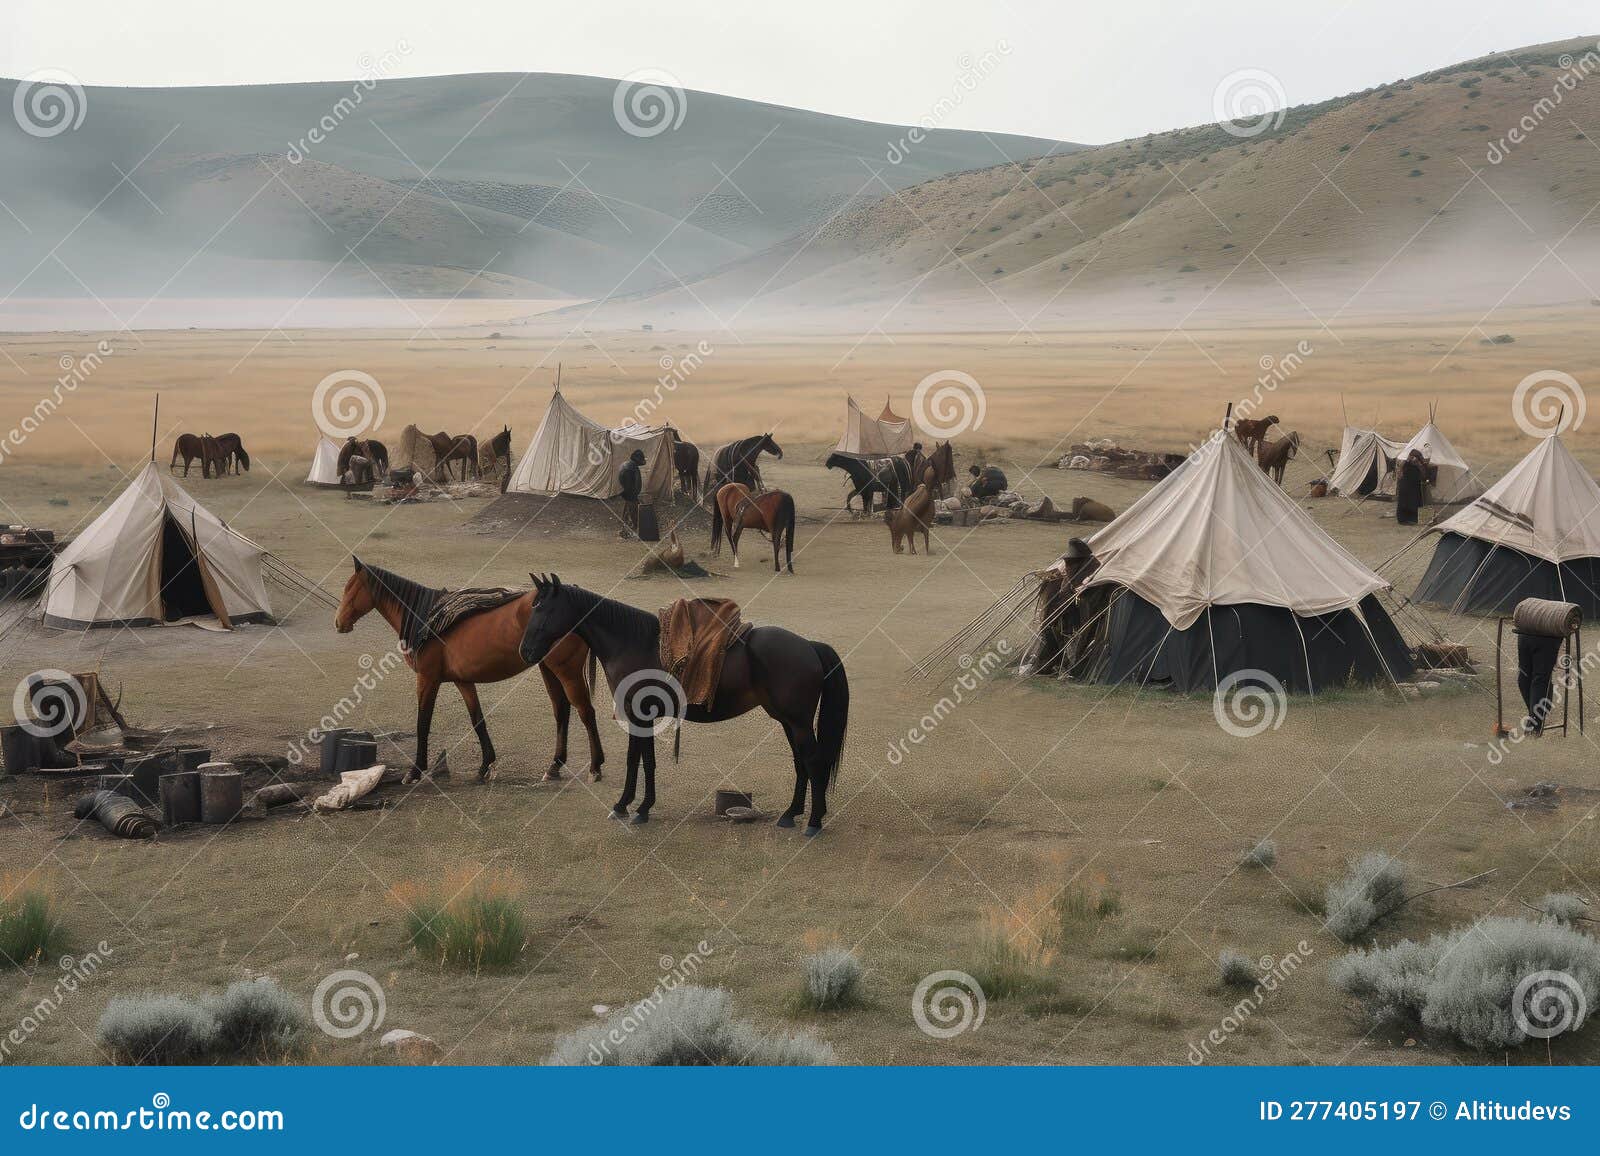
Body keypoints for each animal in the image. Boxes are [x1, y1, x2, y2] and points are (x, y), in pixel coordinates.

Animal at [334, 559, 606, 784]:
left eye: (350, 589)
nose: (338, 623)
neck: (426, 619)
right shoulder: (463, 681)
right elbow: (478, 720)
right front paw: (485, 765)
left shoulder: (427, 679)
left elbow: (423, 722)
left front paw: (415, 770)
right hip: (547, 668)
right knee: (561, 710)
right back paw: (555, 766)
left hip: (567, 670)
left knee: (585, 712)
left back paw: (595, 767)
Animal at [518, 575, 848, 834]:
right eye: (532, 607)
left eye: (543, 608)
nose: (525, 650)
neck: (631, 642)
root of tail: (809, 646)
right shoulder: (641, 716)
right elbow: (644, 760)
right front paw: (636, 807)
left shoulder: (638, 716)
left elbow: (638, 760)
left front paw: (630, 806)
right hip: (788, 721)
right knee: (800, 761)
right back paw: (791, 815)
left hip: (798, 722)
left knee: (813, 761)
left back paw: (814, 822)